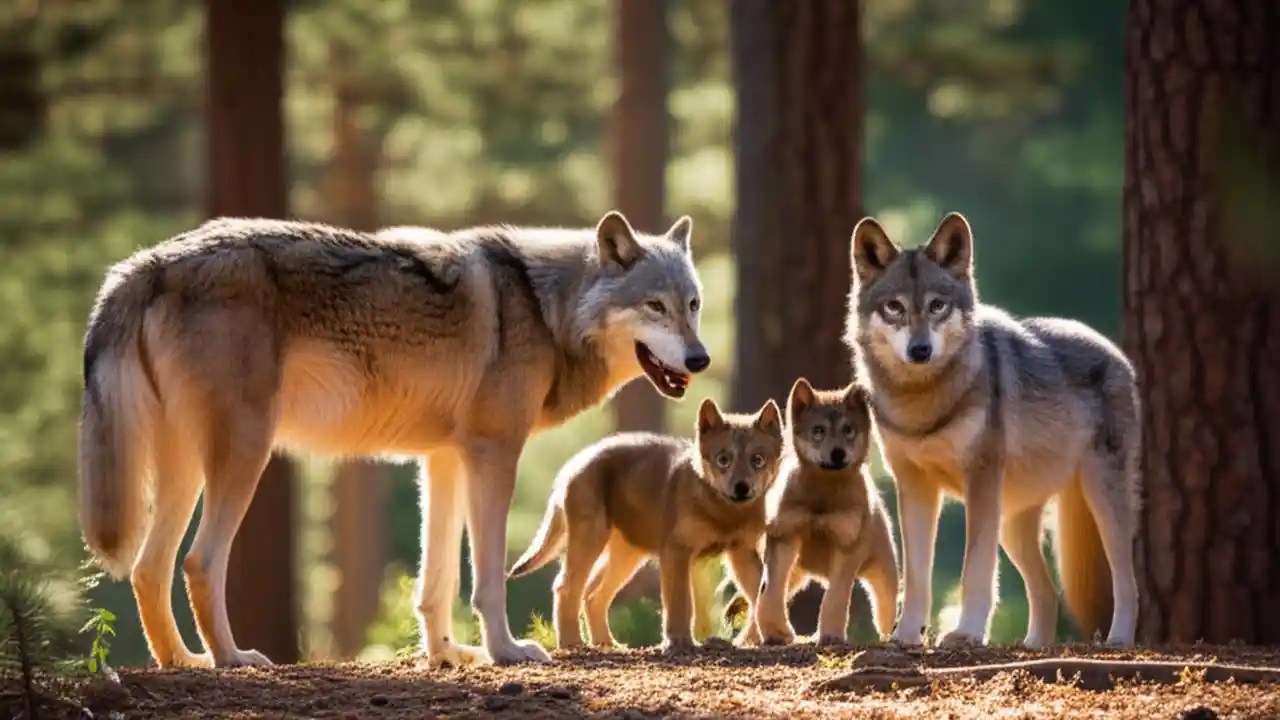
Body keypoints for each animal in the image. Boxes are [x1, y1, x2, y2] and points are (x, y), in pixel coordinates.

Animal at [78, 210, 709, 668]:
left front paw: (448, 655)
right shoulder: (494, 456)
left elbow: (437, 582)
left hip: (186, 470)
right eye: (655, 306)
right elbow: (488, 578)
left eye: (694, 305)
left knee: (148, 568)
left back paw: (183, 662)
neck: (542, 307)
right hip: (244, 457)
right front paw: (506, 652)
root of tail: (148, 262)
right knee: (199, 562)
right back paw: (233, 658)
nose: (701, 359)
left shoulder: (443, 461)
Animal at [508, 397, 784, 650]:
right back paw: (572, 643)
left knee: (593, 595)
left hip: (628, 556)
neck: (722, 511)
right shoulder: (677, 553)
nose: (741, 488)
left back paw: (607, 644)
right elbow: (681, 603)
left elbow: (760, 594)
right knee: (566, 587)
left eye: (758, 460)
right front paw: (679, 642)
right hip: (592, 543)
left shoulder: (741, 552)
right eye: (723, 459)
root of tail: (574, 463)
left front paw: (770, 635)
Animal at [752, 378, 899, 646]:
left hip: (884, 585)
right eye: (818, 430)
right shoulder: (784, 538)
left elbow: (835, 599)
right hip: (796, 575)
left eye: (848, 429)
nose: (838, 453)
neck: (822, 497)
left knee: (886, 618)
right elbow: (769, 592)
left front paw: (830, 635)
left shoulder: (846, 548)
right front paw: (776, 632)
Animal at [845, 212, 1140, 648]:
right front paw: (906, 636)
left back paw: (1118, 639)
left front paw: (967, 632)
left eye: (937, 305)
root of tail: (1115, 352)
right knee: (1047, 593)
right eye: (895, 307)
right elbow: (915, 577)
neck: (922, 406)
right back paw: (1034, 646)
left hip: (1100, 501)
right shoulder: (914, 487)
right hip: (1013, 524)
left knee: (1128, 581)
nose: (920, 351)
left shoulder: (980, 482)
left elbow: (975, 570)